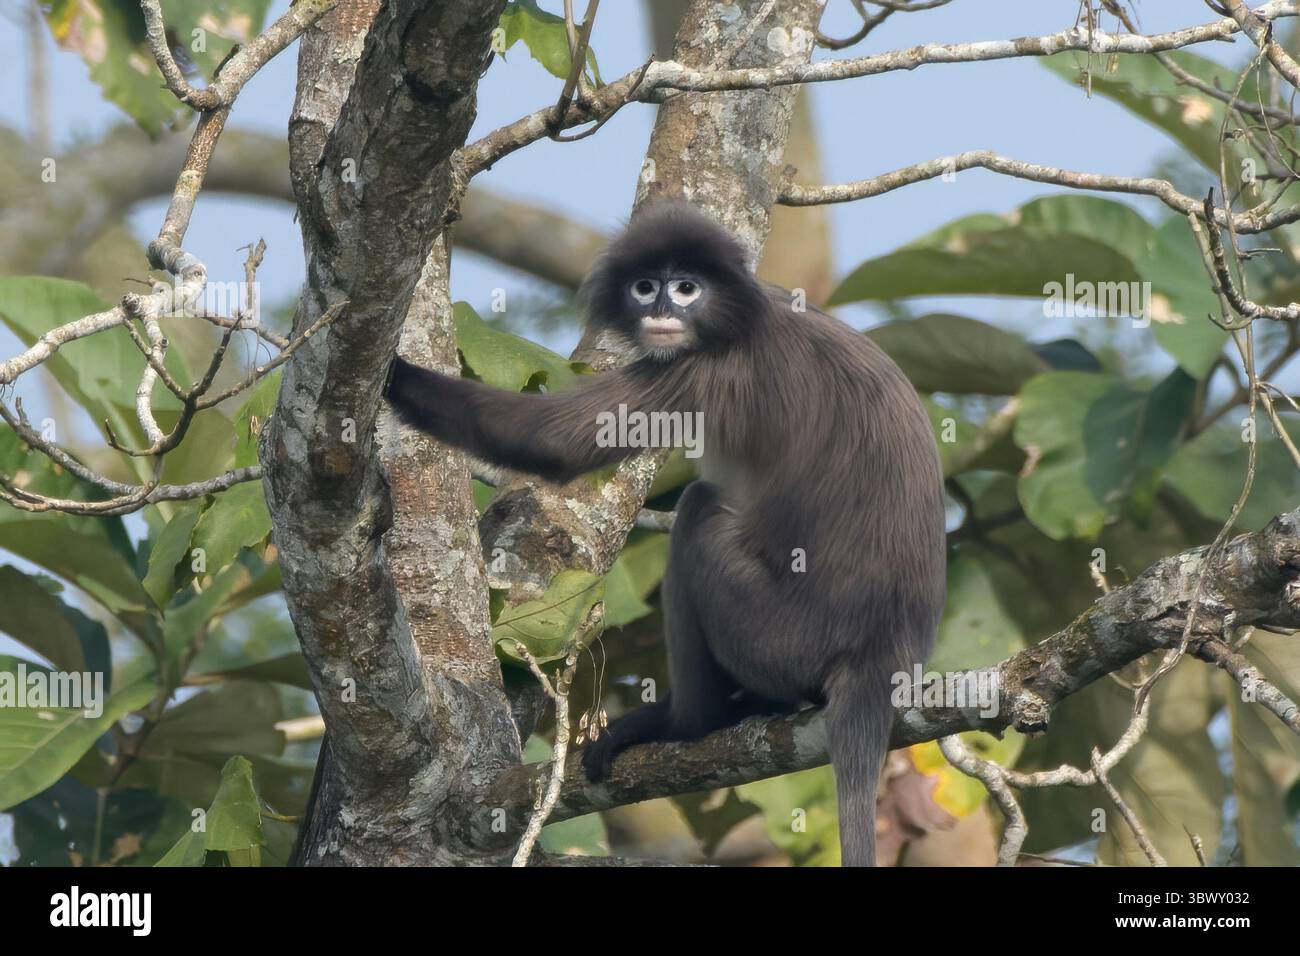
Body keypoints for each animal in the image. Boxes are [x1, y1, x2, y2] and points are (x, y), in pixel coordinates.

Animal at [384, 201, 947, 866]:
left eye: (686, 289)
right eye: (645, 286)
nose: (662, 313)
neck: (745, 316)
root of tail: (880, 656)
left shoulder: (700, 367)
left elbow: (552, 444)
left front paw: (392, 375)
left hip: (780, 635)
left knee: (699, 514)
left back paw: (687, 722)